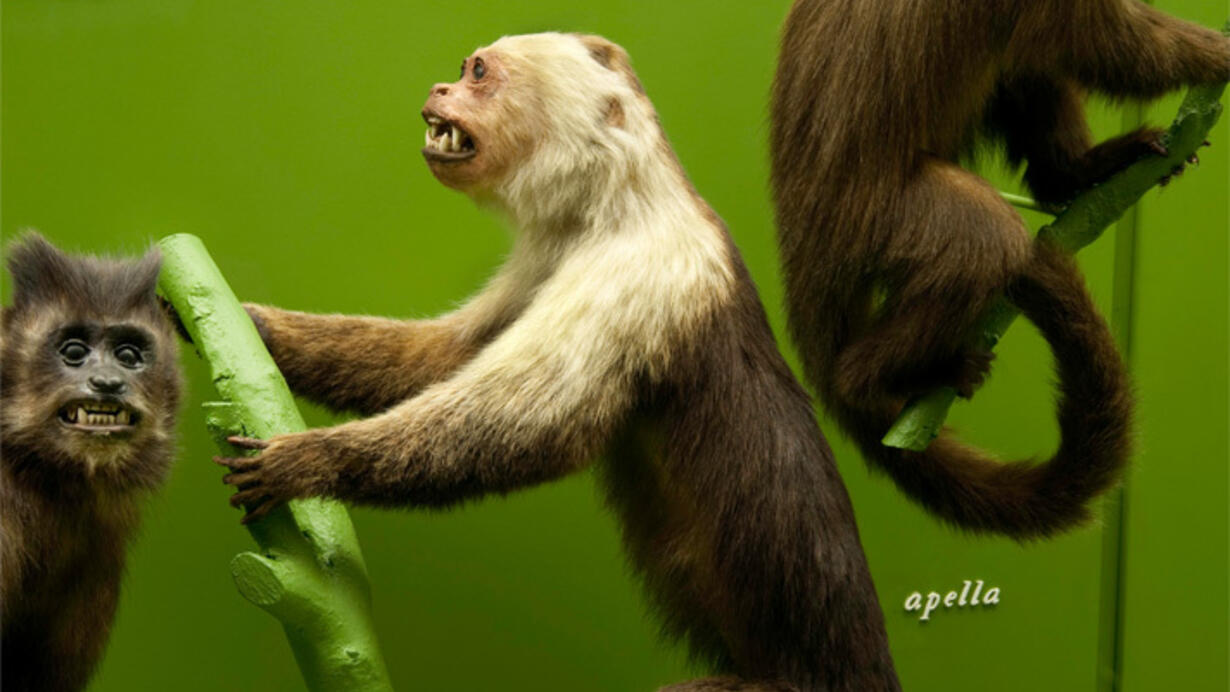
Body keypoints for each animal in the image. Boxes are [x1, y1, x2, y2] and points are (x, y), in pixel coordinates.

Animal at [216, 33, 901, 691]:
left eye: (479, 74)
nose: (441, 87)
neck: (613, 207)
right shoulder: (549, 251)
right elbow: (442, 357)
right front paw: (261, 329)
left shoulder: (638, 271)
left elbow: (541, 423)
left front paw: (310, 461)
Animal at [770, 0, 1230, 540]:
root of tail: (802, 237)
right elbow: (1106, 45)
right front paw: (1217, 55)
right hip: (869, 223)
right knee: (989, 238)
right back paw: (878, 379)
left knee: (1022, 69)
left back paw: (1076, 173)